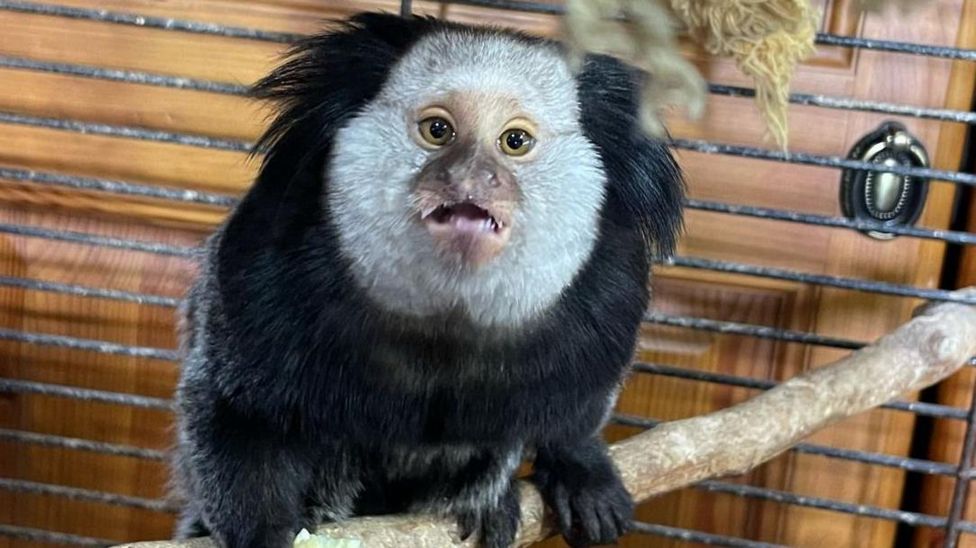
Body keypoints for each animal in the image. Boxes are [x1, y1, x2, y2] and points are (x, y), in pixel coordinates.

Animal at [171, 11, 684, 548]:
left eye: (514, 141)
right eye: (438, 130)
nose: (472, 174)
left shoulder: (610, 300)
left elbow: (578, 410)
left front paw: (581, 464)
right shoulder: (258, 270)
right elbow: (234, 411)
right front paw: (264, 529)